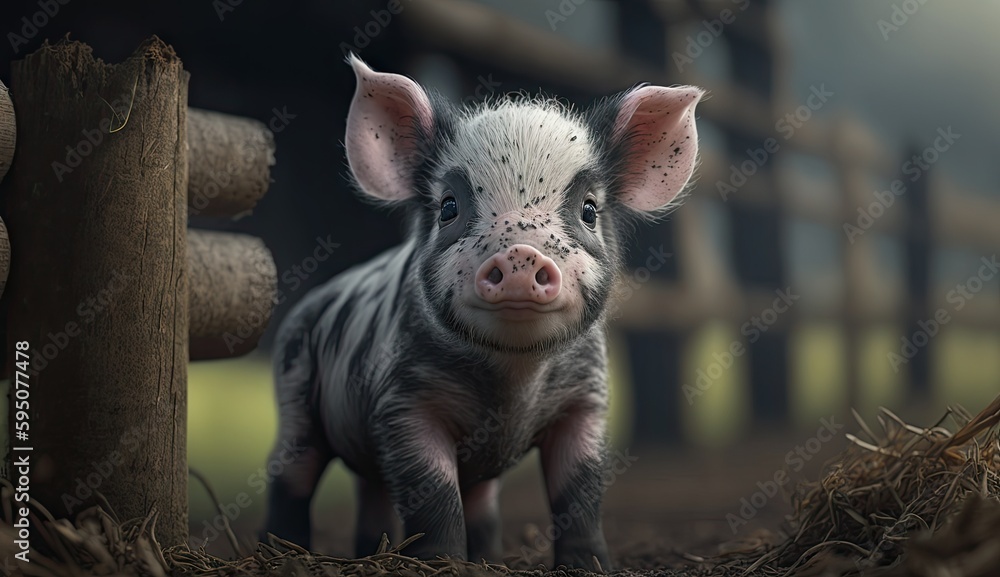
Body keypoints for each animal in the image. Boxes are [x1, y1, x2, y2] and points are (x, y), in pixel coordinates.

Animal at [261, 54, 703, 571]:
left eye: (590, 210)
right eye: (448, 207)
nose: (520, 255)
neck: (512, 384)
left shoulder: (587, 399)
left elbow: (581, 490)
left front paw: (589, 565)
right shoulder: (403, 401)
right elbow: (433, 491)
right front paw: (442, 564)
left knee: (404, 492)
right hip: (294, 398)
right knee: (290, 474)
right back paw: (279, 548)